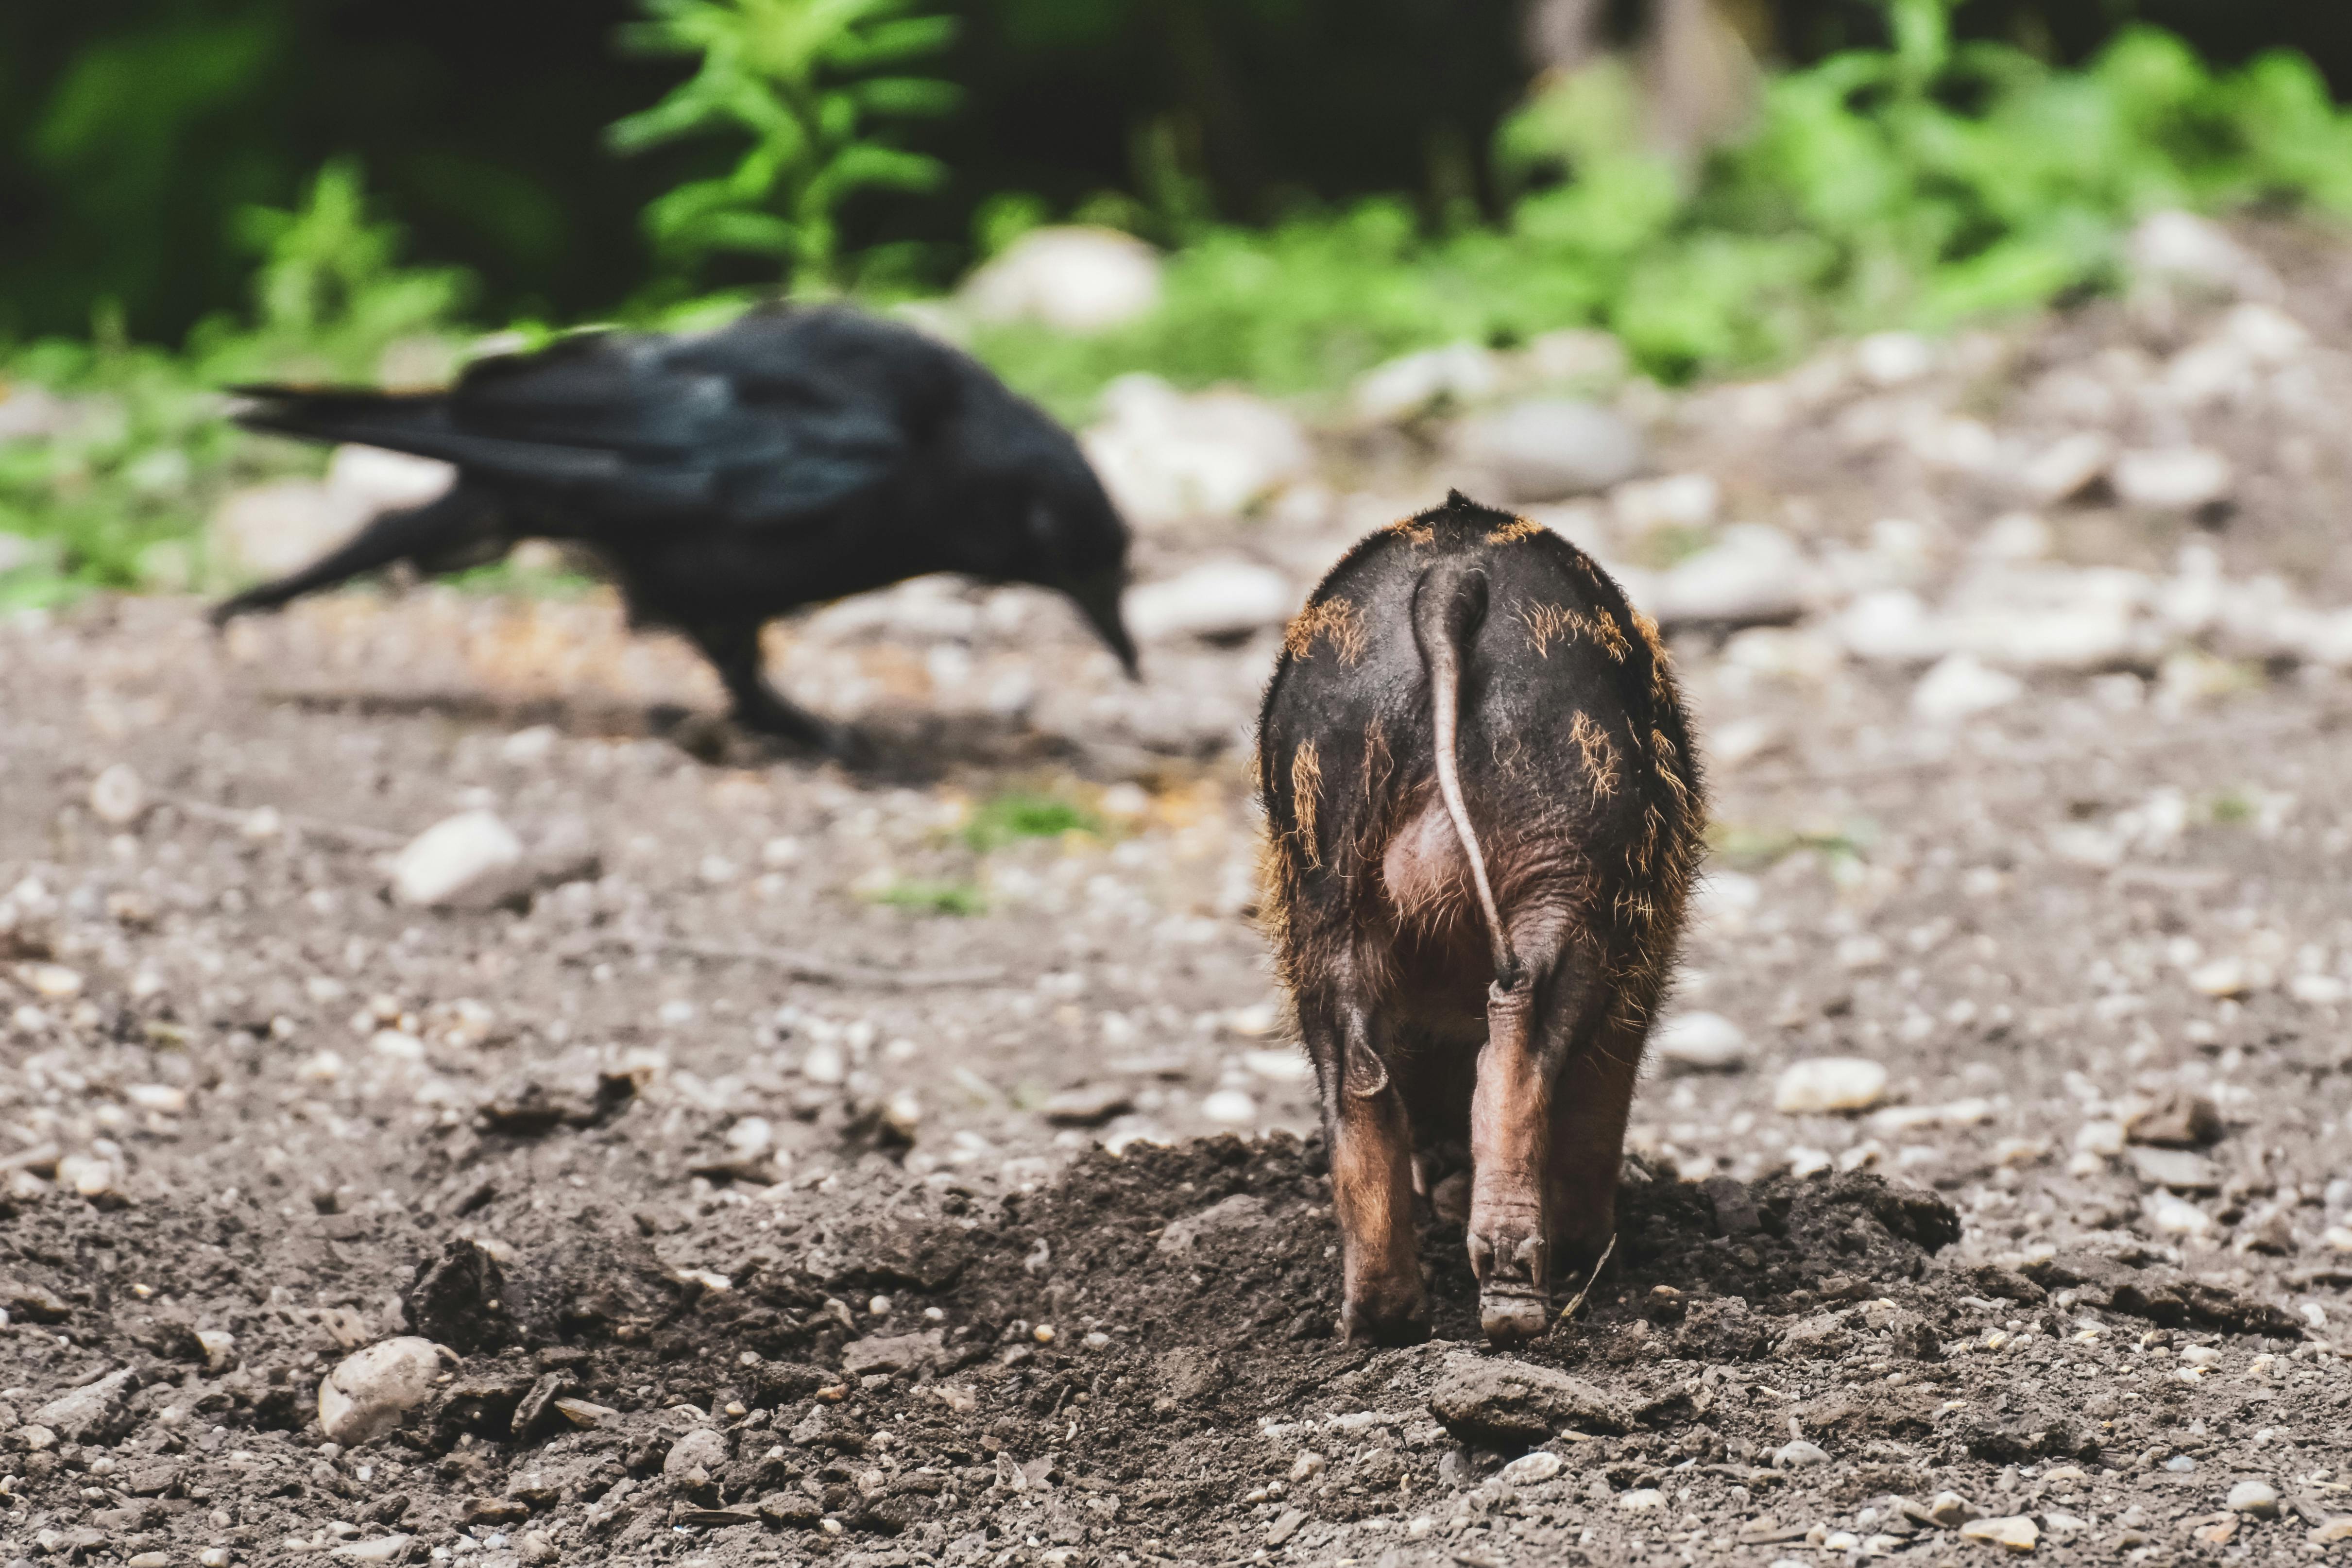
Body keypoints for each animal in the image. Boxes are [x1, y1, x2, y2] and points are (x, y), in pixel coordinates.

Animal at [1257, 490, 1704, 1347]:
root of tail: (1448, 585)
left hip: (1323, 875)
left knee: (1358, 1072)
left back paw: (1383, 1323)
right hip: (1573, 860)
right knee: (1516, 1040)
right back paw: (1520, 1302)